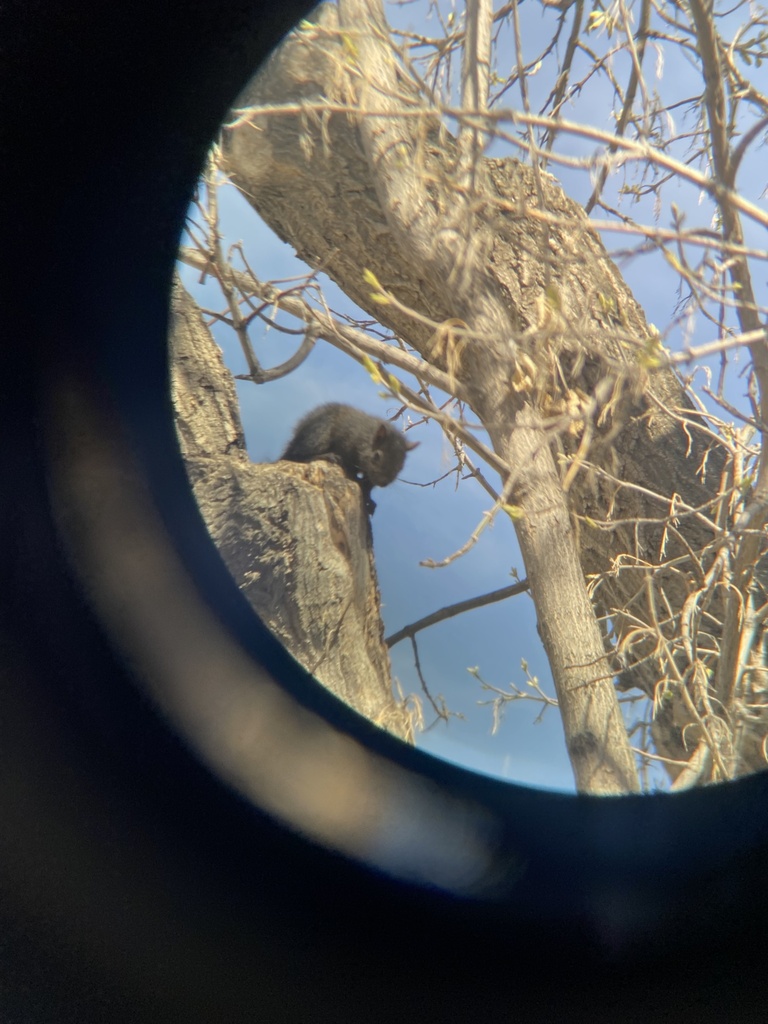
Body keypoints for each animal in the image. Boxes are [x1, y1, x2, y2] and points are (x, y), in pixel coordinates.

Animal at [280, 402, 418, 514]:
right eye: (376, 456)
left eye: (402, 465)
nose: (383, 483)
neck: (367, 439)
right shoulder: (346, 444)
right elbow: (350, 467)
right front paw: (356, 479)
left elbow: (368, 485)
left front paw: (368, 499)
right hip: (318, 435)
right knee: (298, 455)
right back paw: (327, 456)